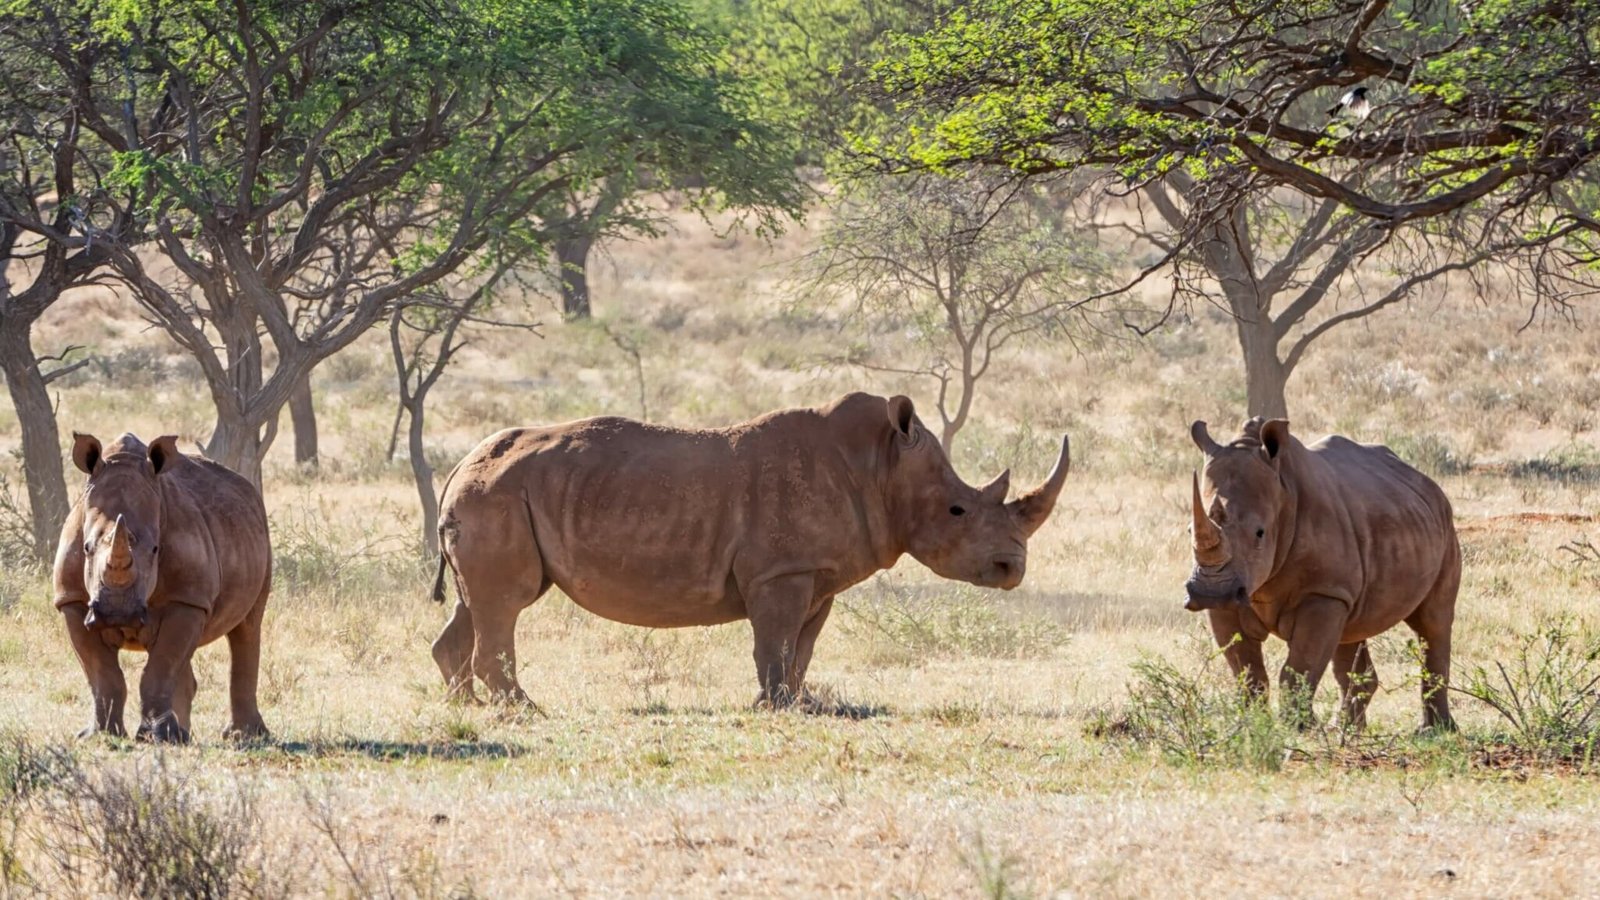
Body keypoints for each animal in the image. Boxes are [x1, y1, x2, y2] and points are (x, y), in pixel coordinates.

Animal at [53, 433, 273, 743]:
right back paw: (186, 734)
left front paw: (159, 738)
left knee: (248, 625)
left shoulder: (188, 599)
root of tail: (246, 486)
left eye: (156, 550)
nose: (117, 613)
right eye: (86, 548)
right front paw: (99, 736)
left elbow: (160, 668)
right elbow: (102, 673)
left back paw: (245, 737)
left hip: (258, 532)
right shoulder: (71, 600)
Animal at [431, 392, 1069, 706]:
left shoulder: (815, 575)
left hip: (493, 495)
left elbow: (800, 647)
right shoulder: (779, 573)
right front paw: (774, 706)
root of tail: (459, 466)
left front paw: (800, 704)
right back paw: (524, 711)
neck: (879, 465)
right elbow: (776, 642)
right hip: (497, 494)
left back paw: (468, 709)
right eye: (958, 511)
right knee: (505, 603)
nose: (1012, 568)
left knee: (477, 604)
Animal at [1184, 417, 1459, 730]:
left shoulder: (1323, 593)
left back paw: (1433, 731)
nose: (1210, 592)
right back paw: (1347, 731)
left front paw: (1296, 730)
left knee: (1433, 622)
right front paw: (1253, 725)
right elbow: (1248, 673)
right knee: (1350, 632)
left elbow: (1298, 669)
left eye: (1260, 533)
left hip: (1446, 527)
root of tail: (1427, 481)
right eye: (1189, 531)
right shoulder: (1232, 600)